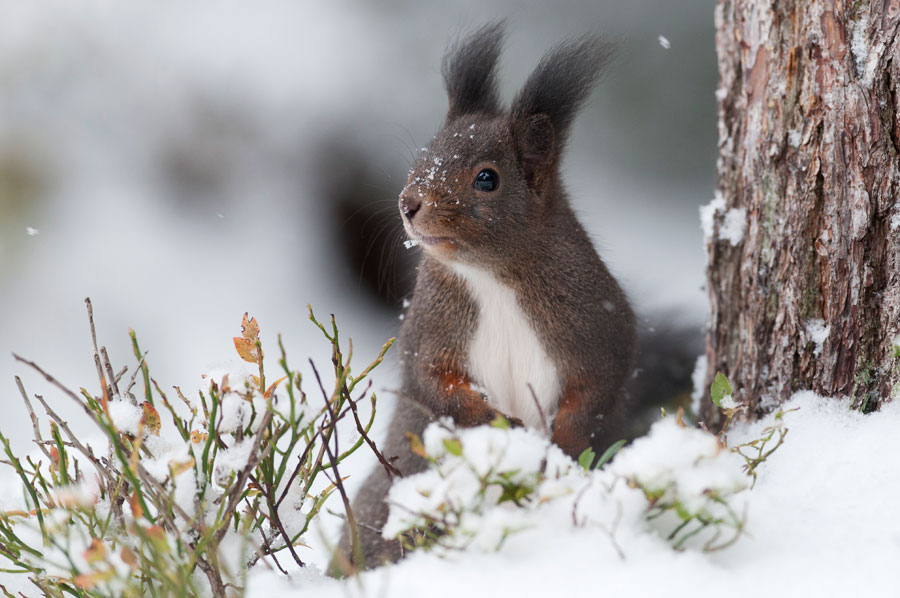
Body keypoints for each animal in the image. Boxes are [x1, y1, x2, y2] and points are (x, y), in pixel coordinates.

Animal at [330, 23, 638, 573]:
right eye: (422, 158)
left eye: (487, 178)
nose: (409, 203)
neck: (490, 278)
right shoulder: (428, 332)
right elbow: (435, 385)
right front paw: (504, 426)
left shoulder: (598, 326)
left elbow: (595, 390)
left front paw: (560, 446)